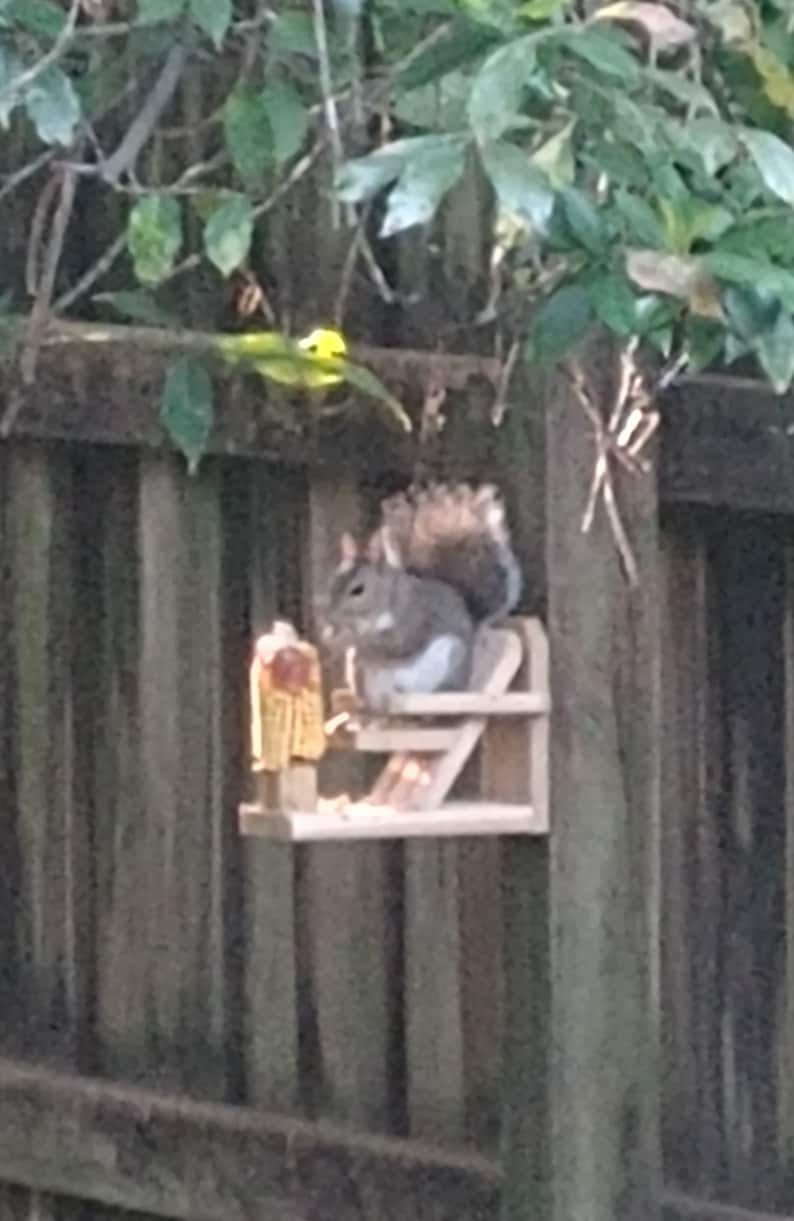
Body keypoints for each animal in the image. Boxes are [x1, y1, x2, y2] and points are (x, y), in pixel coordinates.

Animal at [321, 483, 522, 711]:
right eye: (332, 582)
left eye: (358, 590)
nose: (330, 617)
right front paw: (332, 637)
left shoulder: (412, 620)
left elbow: (395, 645)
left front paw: (348, 640)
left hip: (447, 659)